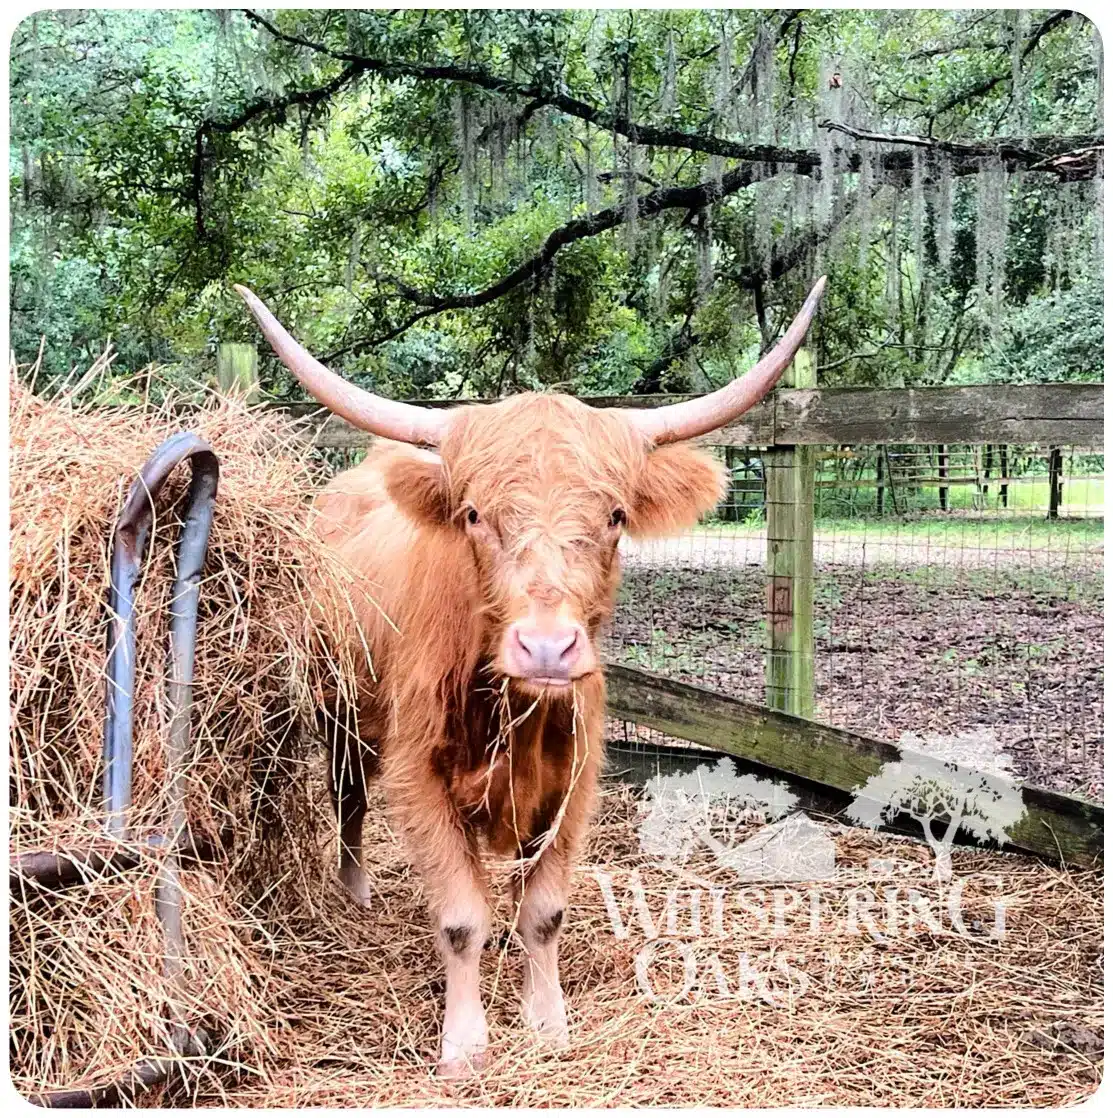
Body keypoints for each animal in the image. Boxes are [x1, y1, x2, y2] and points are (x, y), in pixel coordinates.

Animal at [234, 277, 826, 1078]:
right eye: (475, 514)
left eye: (614, 515)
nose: (547, 648)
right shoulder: (420, 773)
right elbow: (460, 918)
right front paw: (464, 1043)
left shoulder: (574, 780)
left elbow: (542, 913)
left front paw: (547, 1022)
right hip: (339, 708)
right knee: (348, 795)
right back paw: (354, 890)